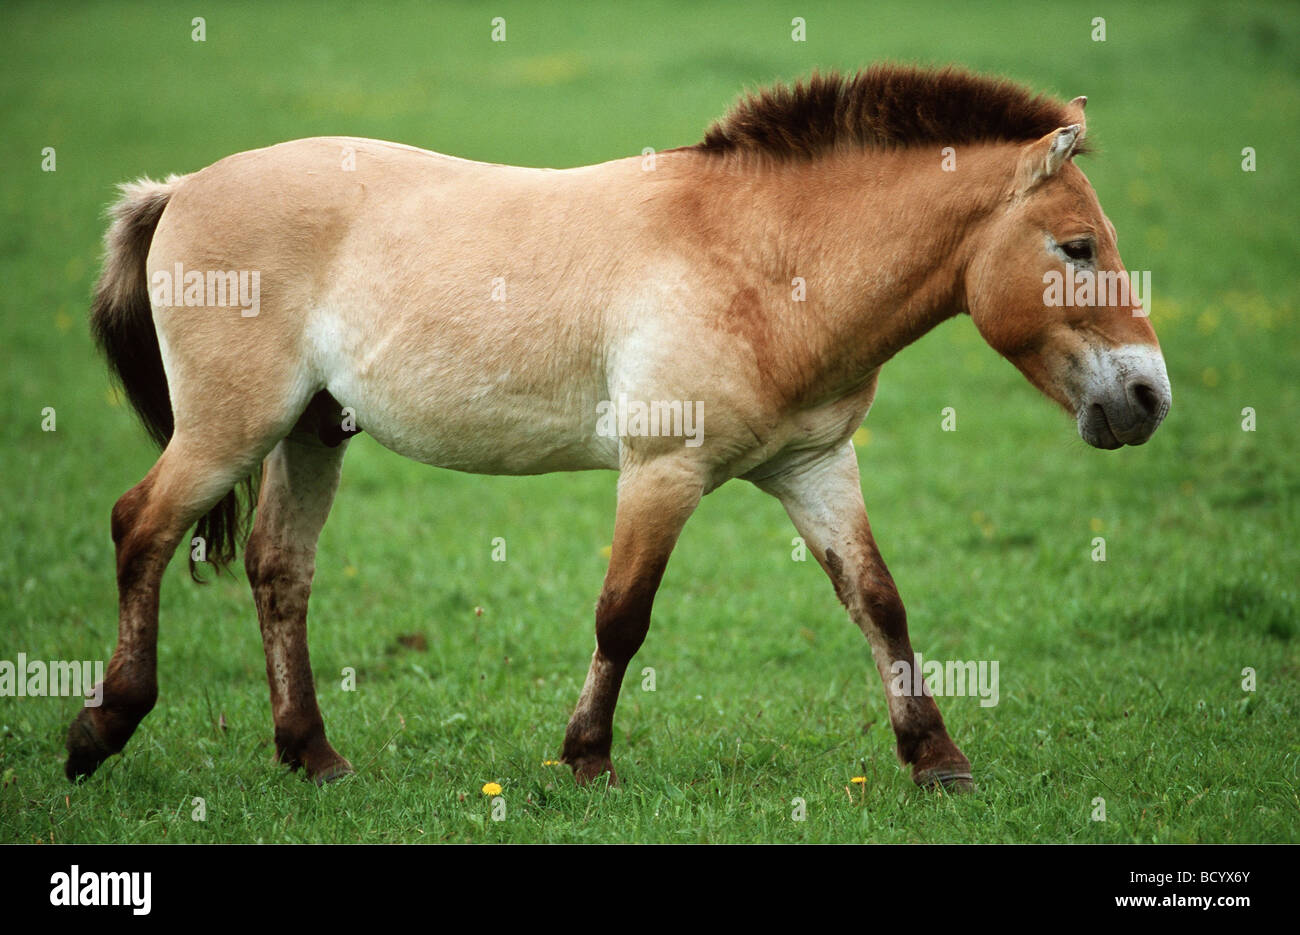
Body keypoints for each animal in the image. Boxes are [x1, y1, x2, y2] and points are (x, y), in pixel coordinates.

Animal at [69, 65, 1171, 791]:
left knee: (278, 570)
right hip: (230, 429)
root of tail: (178, 189)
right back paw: (101, 729)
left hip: (308, 431)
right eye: (1076, 247)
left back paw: (312, 754)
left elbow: (877, 601)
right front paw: (585, 757)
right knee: (140, 526)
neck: (761, 261)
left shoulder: (815, 466)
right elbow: (622, 616)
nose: (1149, 396)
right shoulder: (660, 471)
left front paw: (935, 756)